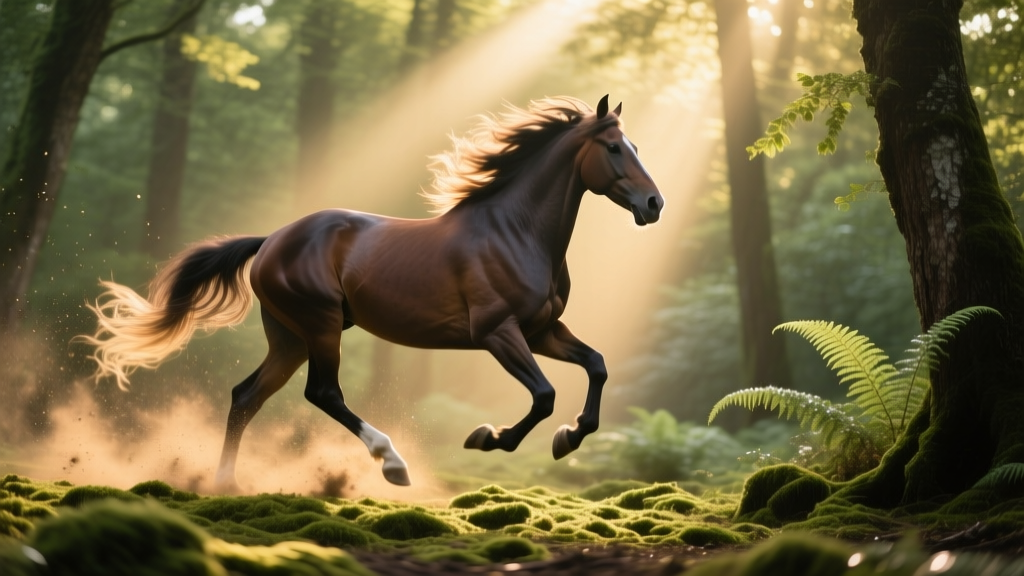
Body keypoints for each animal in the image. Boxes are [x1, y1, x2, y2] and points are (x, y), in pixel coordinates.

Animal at [79, 95, 664, 490]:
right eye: (614, 148)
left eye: (637, 146)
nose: (654, 203)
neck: (515, 231)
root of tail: (271, 241)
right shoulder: (498, 332)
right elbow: (543, 395)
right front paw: (488, 437)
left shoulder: (542, 329)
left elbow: (596, 366)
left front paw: (569, 438)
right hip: (319, 326)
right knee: (323, 393)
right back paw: (393, 464)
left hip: (290, 337)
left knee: (246, 396)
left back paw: (225, 484)